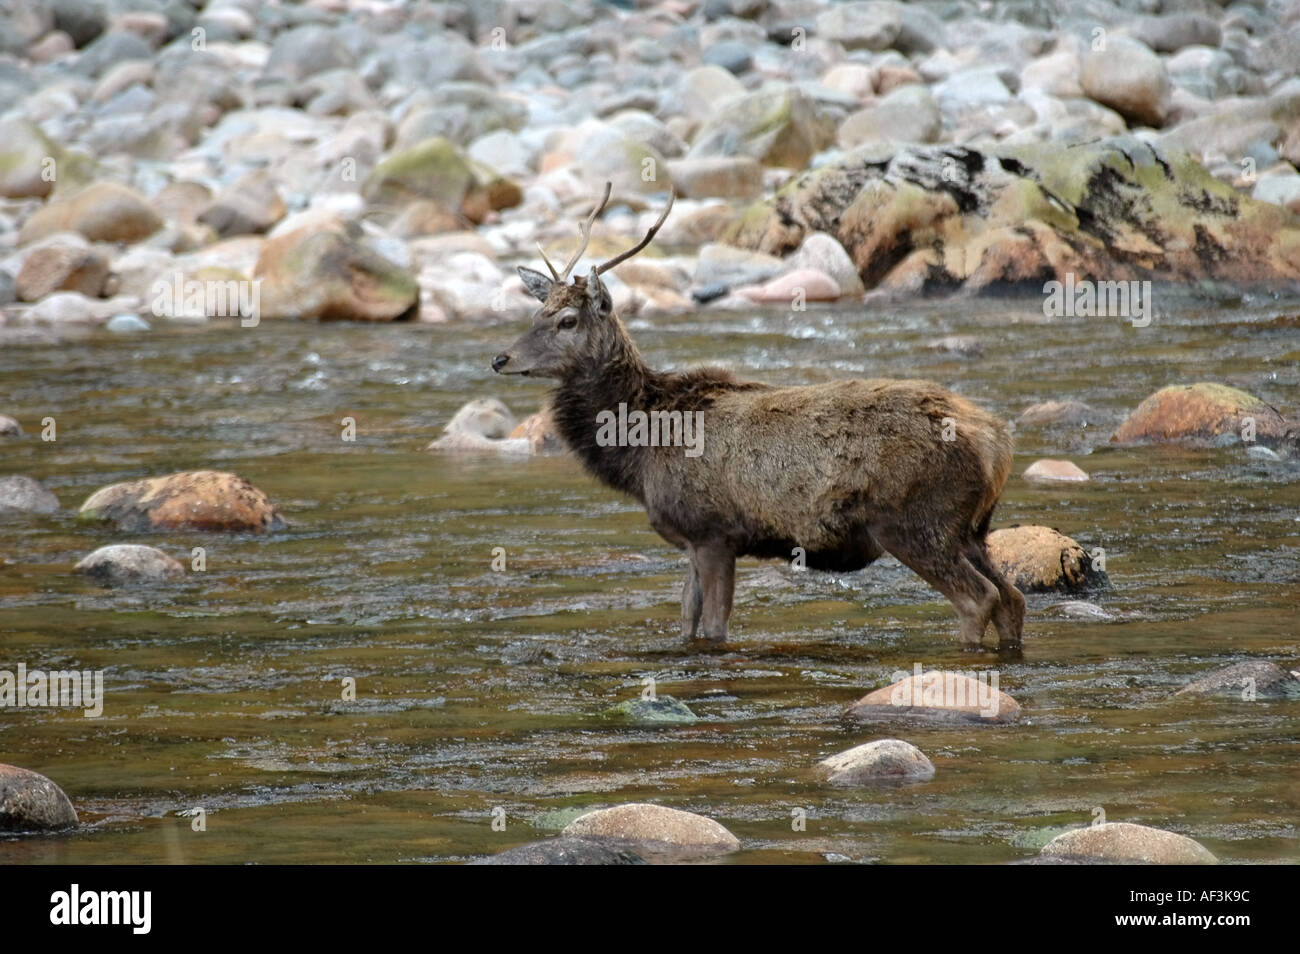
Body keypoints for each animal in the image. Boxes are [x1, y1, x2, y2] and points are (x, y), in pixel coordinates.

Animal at [492, 183, 1025, 650]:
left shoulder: (713, 531)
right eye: (536, 313)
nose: (500, 358)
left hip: (914, 520)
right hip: (972, 528)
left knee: (979, 598)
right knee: (1013, 599)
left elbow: (713, 627)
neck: (640, 452)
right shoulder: (692, 539)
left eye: (567, 320)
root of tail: (997, 442)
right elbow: (686, 620)